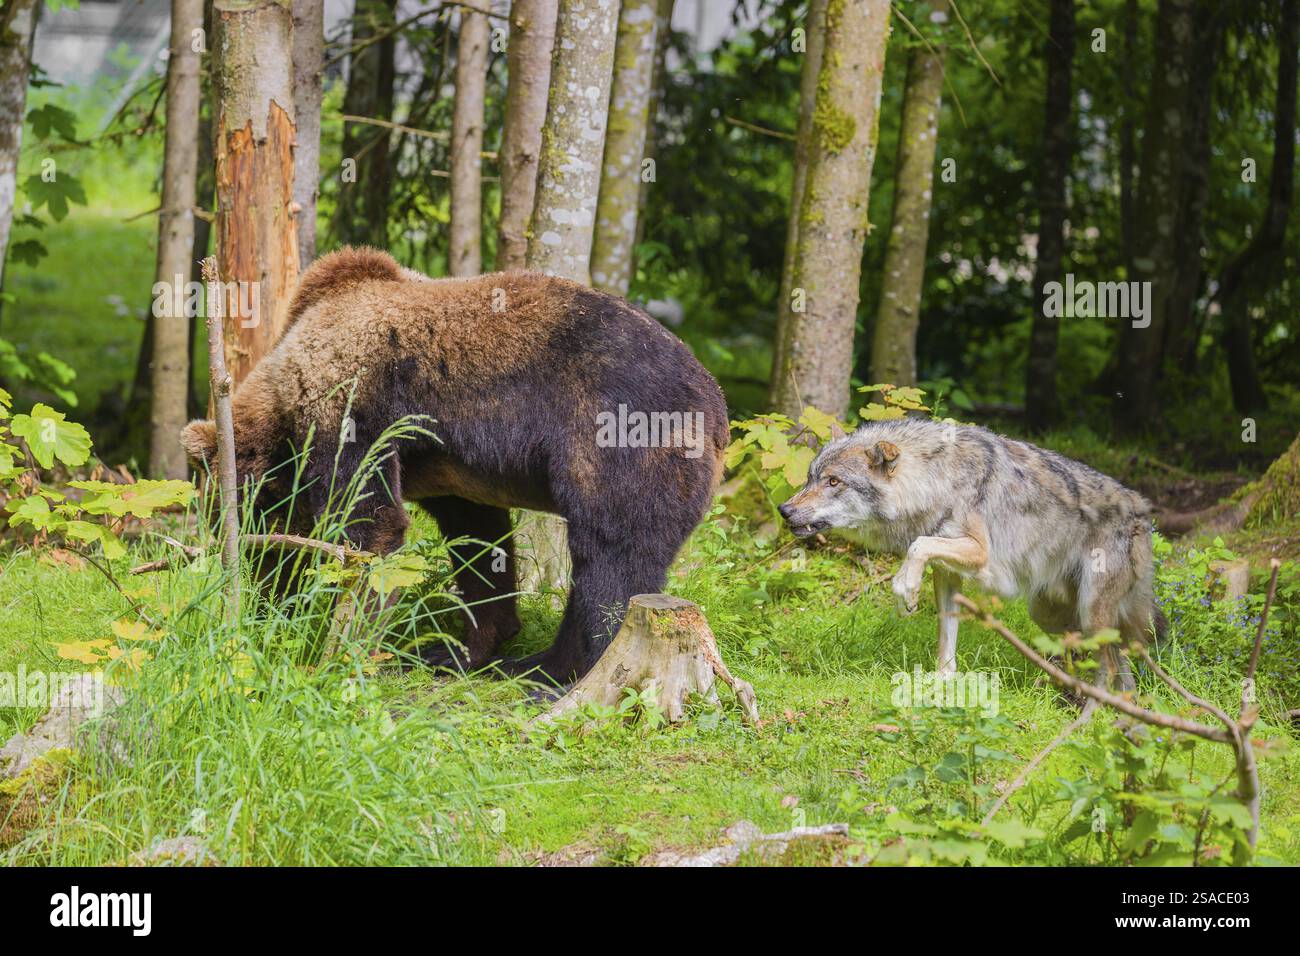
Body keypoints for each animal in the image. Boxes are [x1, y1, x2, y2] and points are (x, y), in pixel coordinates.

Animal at [180, 247, 729, 683]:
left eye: (234, 520)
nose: (259, 592)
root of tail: (717, 403)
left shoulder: (354, 409)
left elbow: (370, 525)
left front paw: (339, 648)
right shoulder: (450, 470)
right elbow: (479, 543)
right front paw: (464, 647)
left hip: (616, 435)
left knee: (612, 557)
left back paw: (568, 673)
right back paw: (529, 664)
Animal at [778, 417, 1167, 690]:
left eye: (833, 482)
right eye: (810, 478)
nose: (784, 510)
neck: (936, 480)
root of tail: (1142, 510)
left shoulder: (979, 554)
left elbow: (918, 548)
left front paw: (905, 592)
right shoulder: (948, 575)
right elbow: (946, 635)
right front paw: (943, 682)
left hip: (1089, 613)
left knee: (1111, 666)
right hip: (1052, 616)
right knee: (1121, 667)